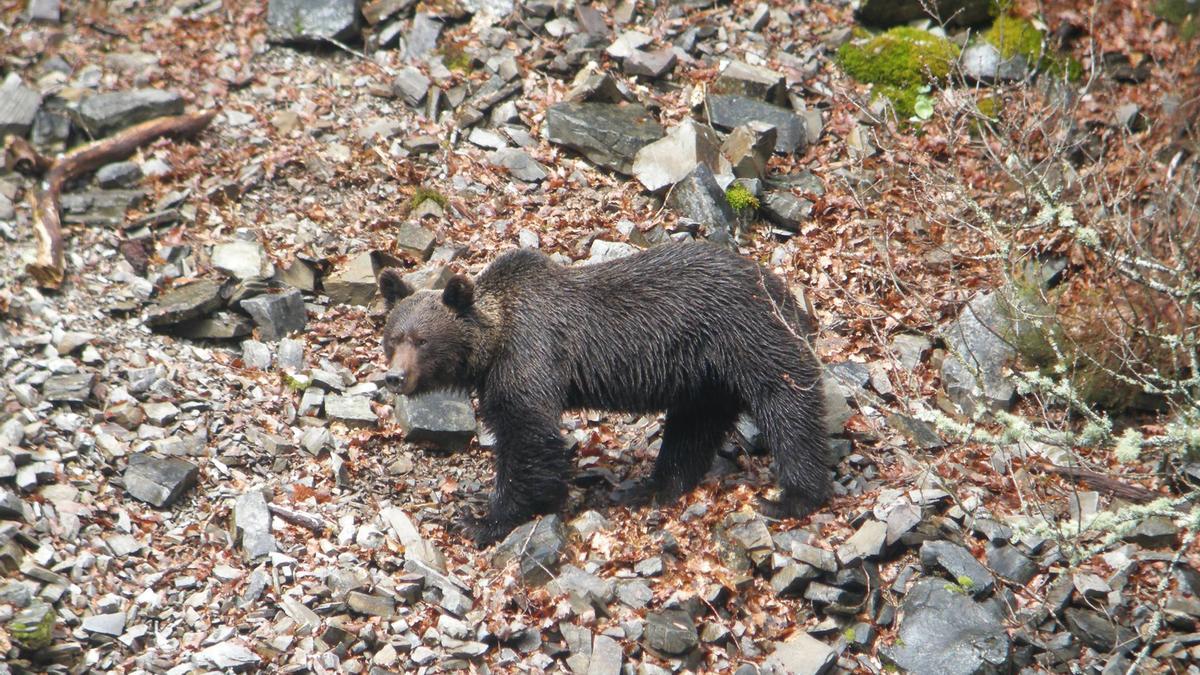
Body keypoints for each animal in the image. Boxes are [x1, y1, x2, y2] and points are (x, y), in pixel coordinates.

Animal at [378, 241, 829, 547]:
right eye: (393, 337)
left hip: (745, 334)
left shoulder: (529, 355)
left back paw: (794, 496)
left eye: (421, 340)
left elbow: (529, 436)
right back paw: (653, 486)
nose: (394, 378)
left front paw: (484, 520)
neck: (493, 343)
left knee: (787, 401)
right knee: (693, 426)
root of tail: (780, 285)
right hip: (705, 376)